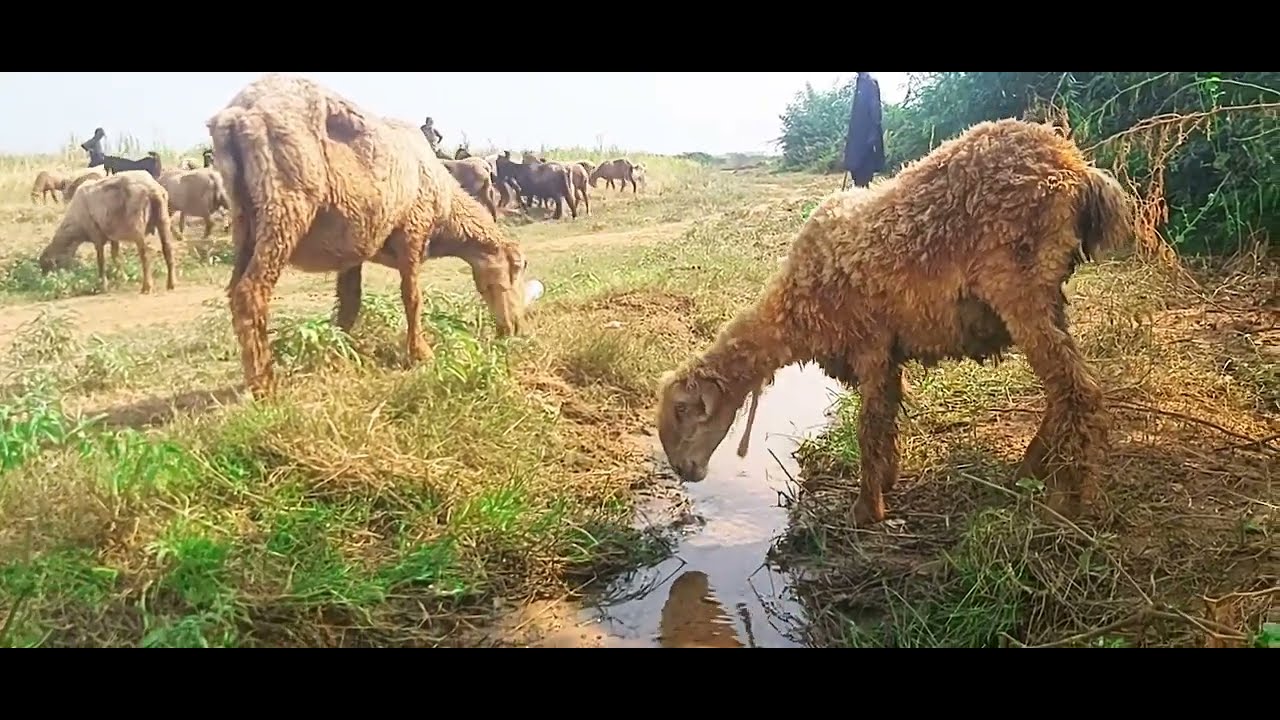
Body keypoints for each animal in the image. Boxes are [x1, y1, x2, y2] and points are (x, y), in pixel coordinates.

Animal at [37, 170, 177, 295]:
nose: (47, 280)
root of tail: (152, 189)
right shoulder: (113, 236)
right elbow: (116, 257)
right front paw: (122, 277)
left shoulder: (96, 235)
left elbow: (101, 261)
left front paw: (102, 285)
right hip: (163, 219)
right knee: (168, 249)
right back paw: (171, 284)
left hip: (137, 225)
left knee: (145, 255)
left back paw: (147, 287)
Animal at [206, 73, 530, 398]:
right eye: (516, 269)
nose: (515, 329)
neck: (446, 207)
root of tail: (237, 113)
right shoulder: (412, 231)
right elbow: (412, 297)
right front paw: (420, 353)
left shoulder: (352, 249)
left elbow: (350, 304)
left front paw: (339, 353)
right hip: (285, 202)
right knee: (251, 292)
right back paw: (263, 383)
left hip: (246, 219)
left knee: (234, 290)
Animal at [655, 118, 1135, 527]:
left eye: (682, 409)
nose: (684, 470)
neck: (795, 307)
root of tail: (1074, 166)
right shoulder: (887, 354)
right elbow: (885, 420)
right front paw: (885, 484)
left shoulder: (870, 344)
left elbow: (868, 426)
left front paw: (865, 511)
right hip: (1047, 296)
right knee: (1064, 387)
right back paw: (1029, 473)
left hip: (1020, 286)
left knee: (1077, 390)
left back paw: (1072, 502)